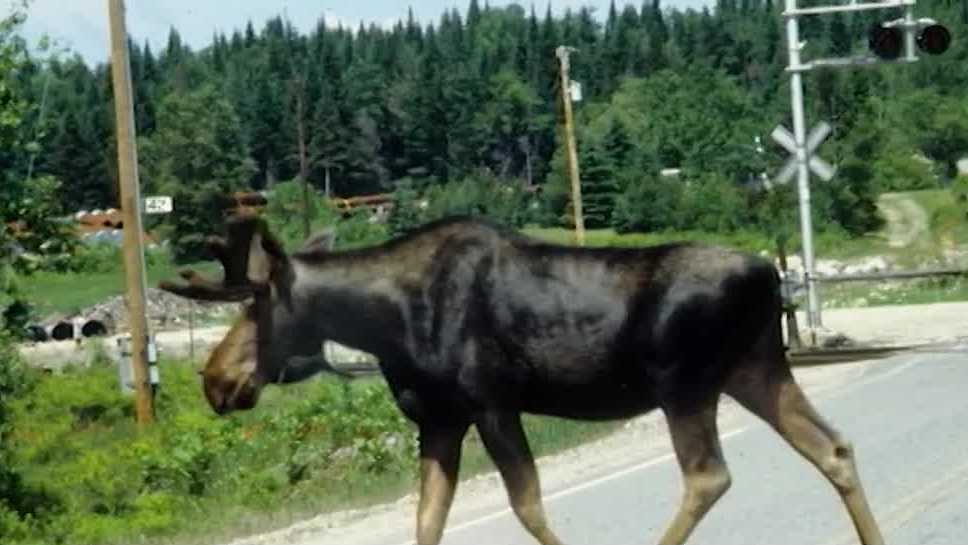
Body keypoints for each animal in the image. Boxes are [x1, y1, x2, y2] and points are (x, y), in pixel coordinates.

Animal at [159, 212, 884, 545]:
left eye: (256, 305)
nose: (214, 378)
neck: (384, 323)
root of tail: (771, 276)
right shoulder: (438, 420)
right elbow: (426, 519)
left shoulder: (492, 403)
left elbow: (528, 503)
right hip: (756, 371)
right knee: (833, 447)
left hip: (686, 384)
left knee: (708, 476)